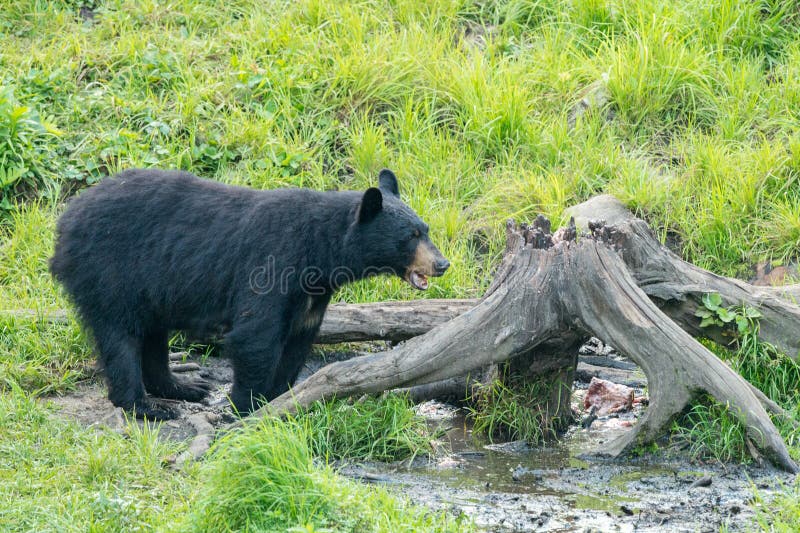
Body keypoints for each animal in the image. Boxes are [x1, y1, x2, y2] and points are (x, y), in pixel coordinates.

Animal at [50, 168, 449, 419]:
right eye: (411, 236)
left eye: (426, 229)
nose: (442, 263)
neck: (321, 252)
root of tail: (66, 220)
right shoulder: (274, 262)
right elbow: (255, 336)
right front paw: (246, 407)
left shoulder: (312, 294)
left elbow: (296, 344)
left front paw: (281, 398)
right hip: (111, 270)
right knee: (120, 337)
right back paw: (147, 406)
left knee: (152, 335)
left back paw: (184, 386)